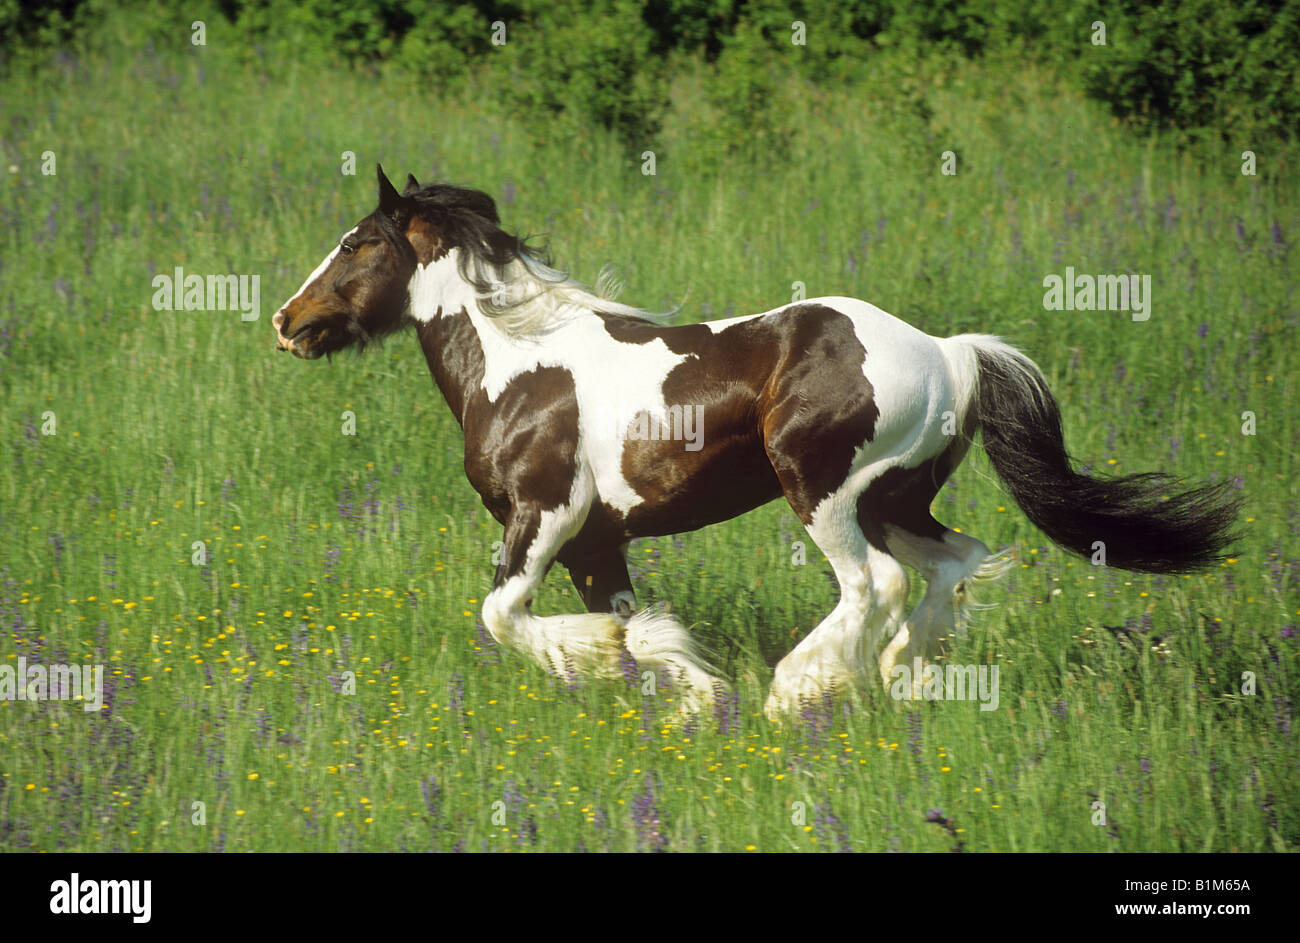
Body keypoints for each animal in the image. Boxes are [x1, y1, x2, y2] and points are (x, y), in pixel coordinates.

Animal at [272, 165, 1241, 719]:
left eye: (357, 243)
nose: (287, 321)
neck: (521, 363)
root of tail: (951, 352)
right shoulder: (597, 540)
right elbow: (635, 623)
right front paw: (688, 691)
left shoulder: (543, 517)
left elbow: (504, 614)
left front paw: (609, 661)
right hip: (897, 497)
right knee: (954, 561)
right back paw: (904, 674)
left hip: (825, 491)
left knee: (875, 583)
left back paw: (800, 688)